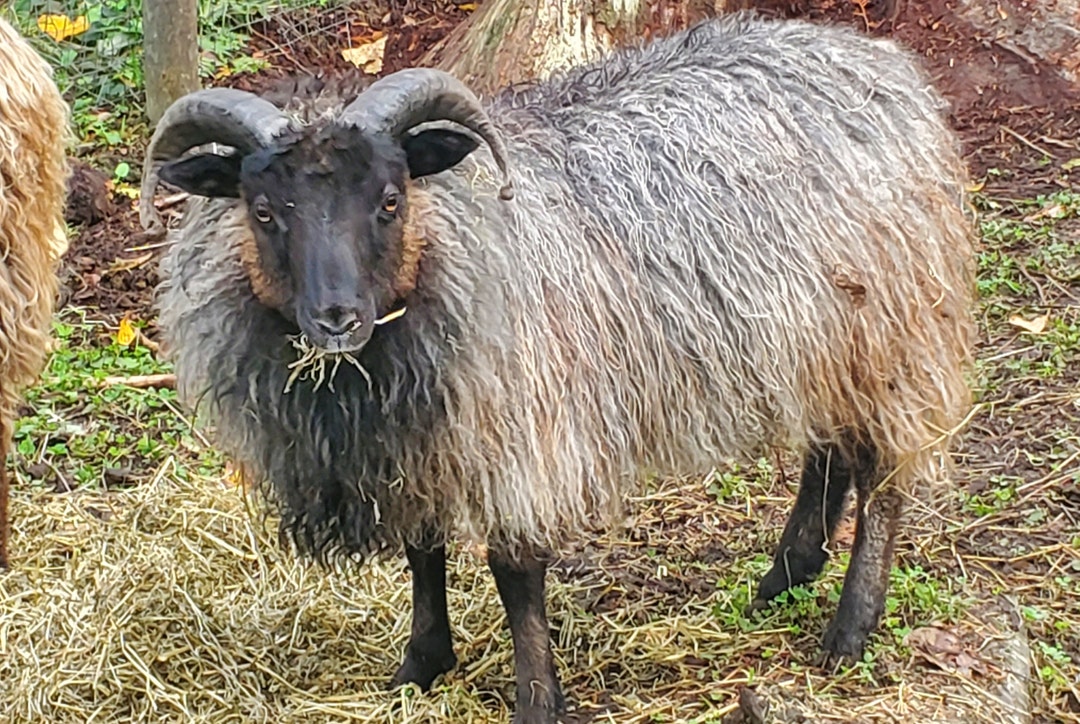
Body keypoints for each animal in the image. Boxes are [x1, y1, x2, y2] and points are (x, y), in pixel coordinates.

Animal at [141, 13, 974, 723]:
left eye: (389, 198)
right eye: (261, 211)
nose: (337, 318)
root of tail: (881, 63)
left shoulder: (518, 434)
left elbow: (515, 575)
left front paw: (537, 699)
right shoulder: (419, 444)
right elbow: (422, 551)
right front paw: (419, 666)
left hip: (891, 332)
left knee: (885, 476)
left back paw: (849, 631)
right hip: (820, 341)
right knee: (829, 449)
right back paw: (785, 575)